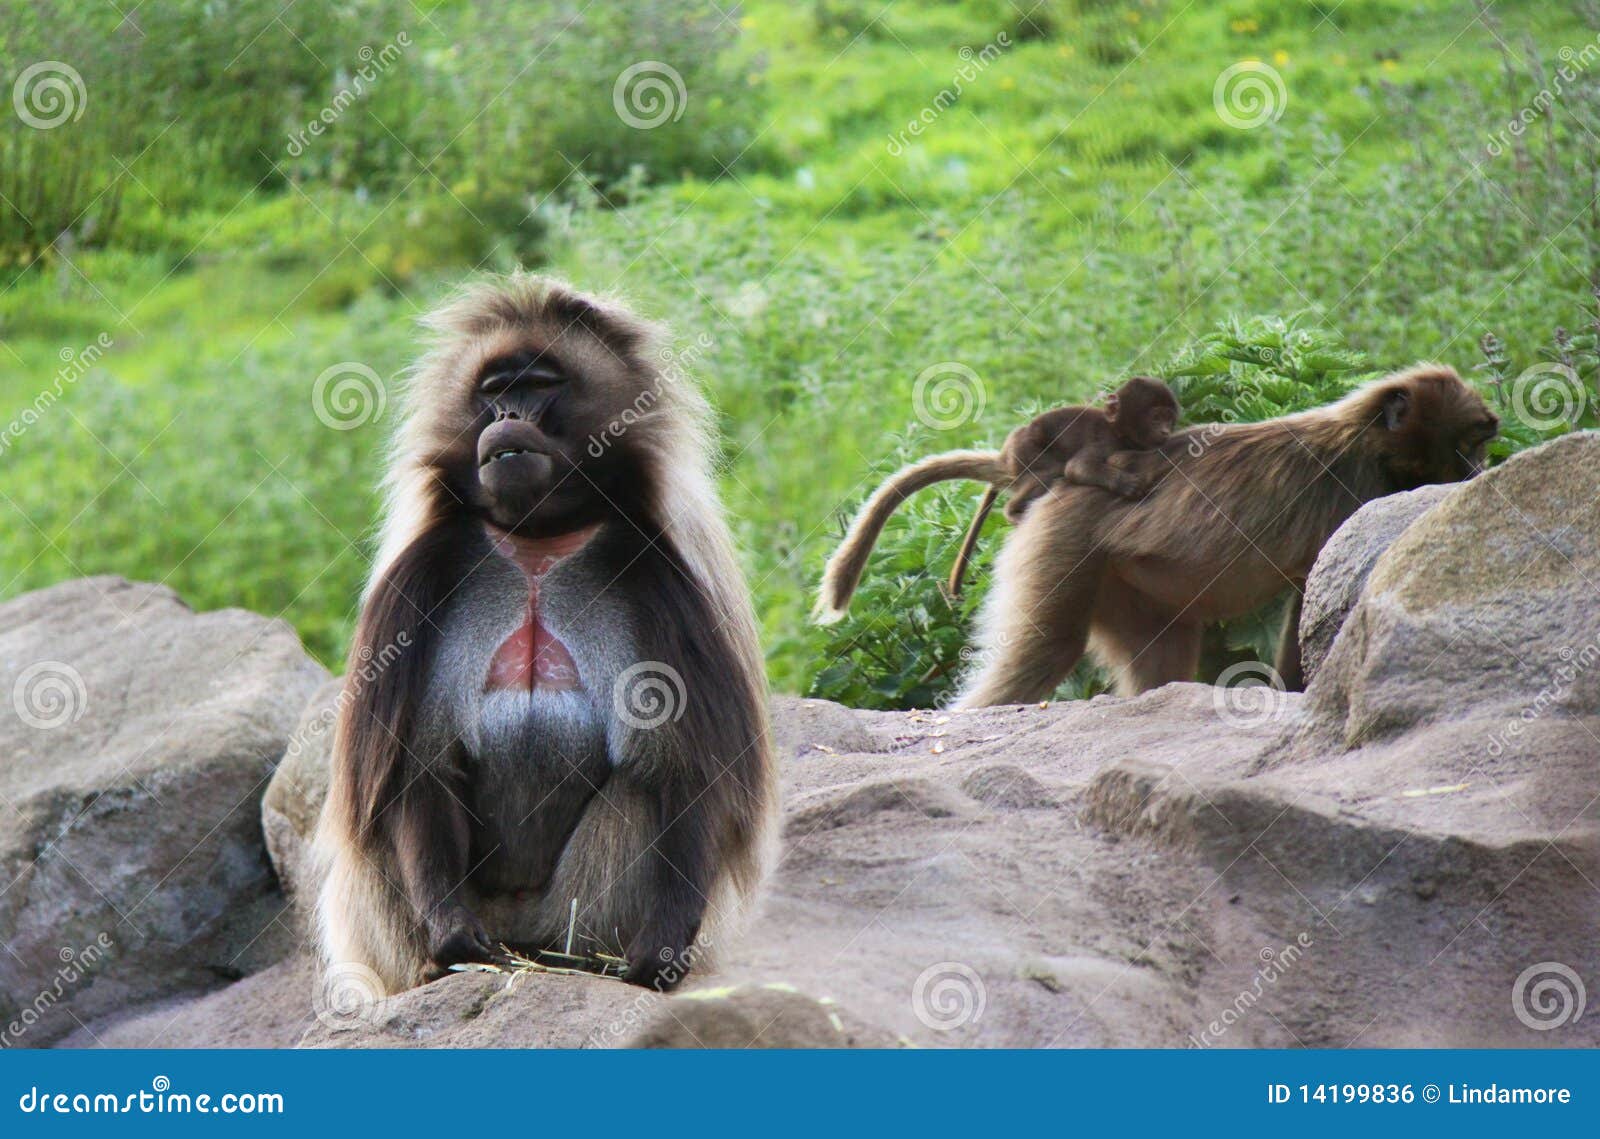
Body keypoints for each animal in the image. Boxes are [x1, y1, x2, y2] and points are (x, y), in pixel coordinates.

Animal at [313, 275, 777, 997]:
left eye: (539, 384)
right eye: (493, 388)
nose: (506, 417)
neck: (537, 540)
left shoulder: (662, 584)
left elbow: (689, 776)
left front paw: (662, 949)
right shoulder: (419, 583)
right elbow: (417, 769)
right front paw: (450, 939)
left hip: (568, 922)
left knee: (637, 794)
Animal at [947, 376, 1179, 596]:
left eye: (1169, 418)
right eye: (1156, 417)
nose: (1165, 431)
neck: (1119, 432)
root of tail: (1006, 454)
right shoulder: (1106, 442)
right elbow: (1077, 468)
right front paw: (1128, 484)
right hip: (1024, 451)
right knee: (1052, 471)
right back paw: (1012, 510)